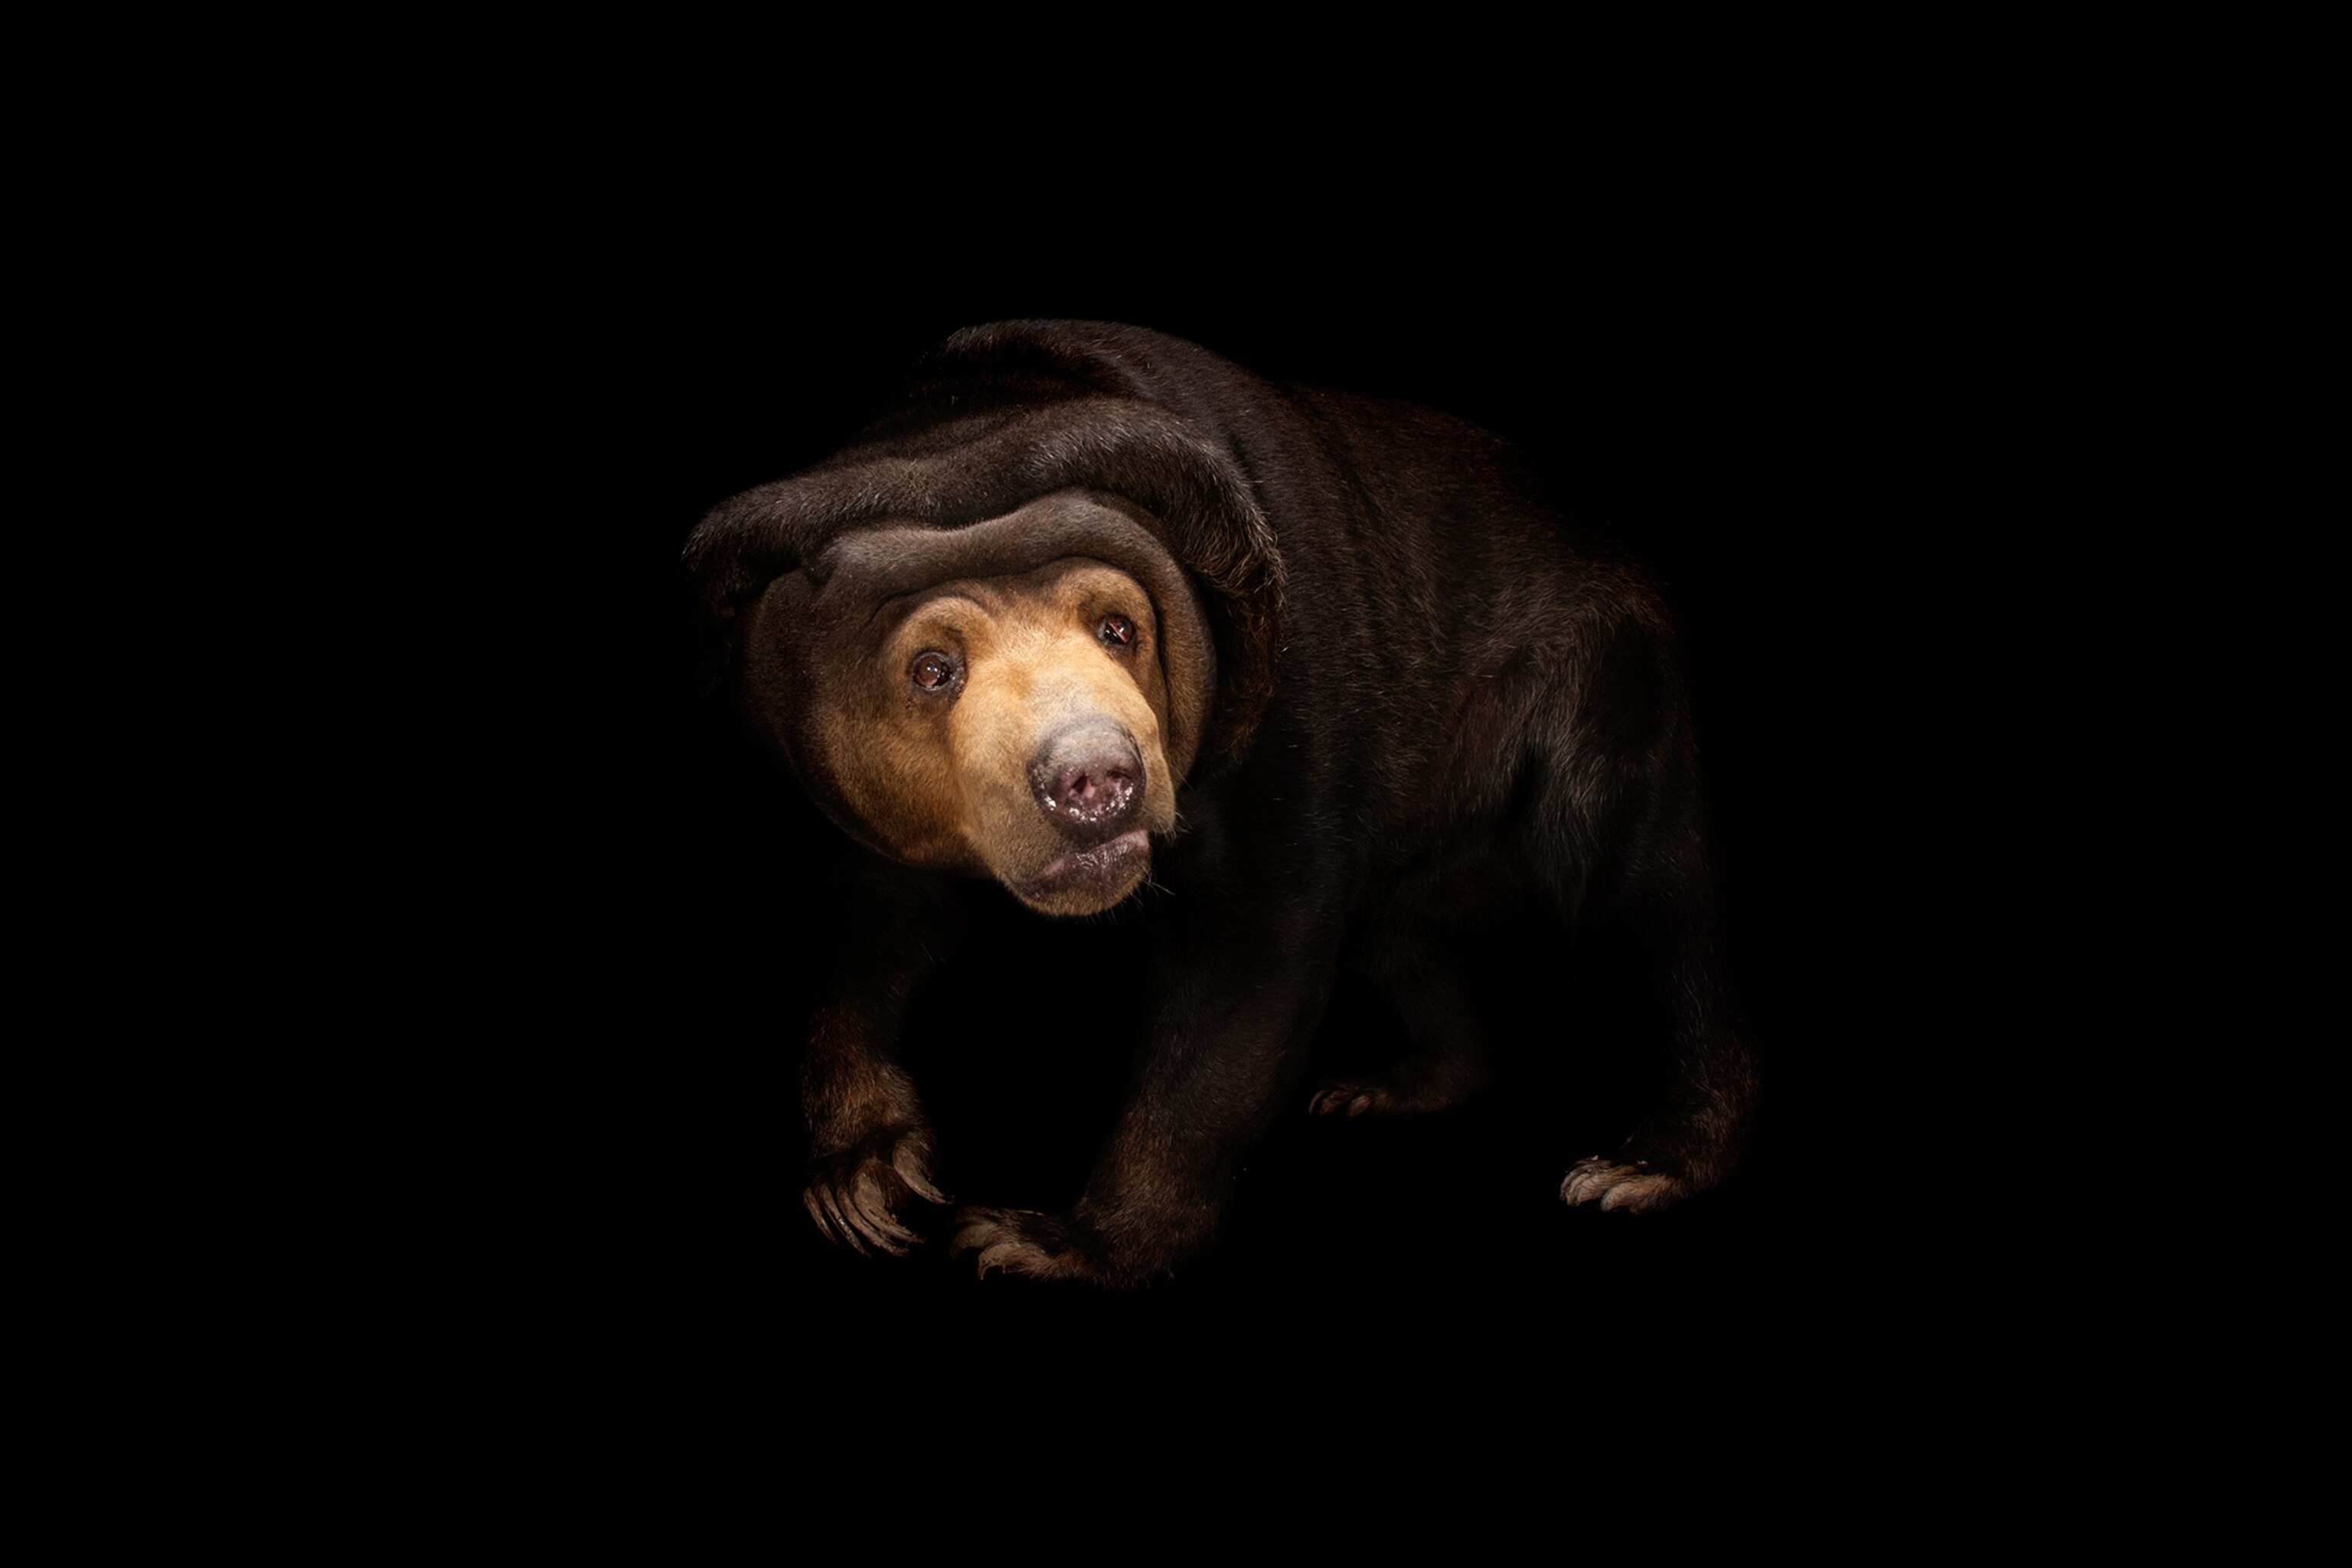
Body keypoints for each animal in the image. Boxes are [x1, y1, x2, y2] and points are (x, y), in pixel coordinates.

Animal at [684, 320, 1757, 1286]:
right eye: (932, 668)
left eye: (1119, 627)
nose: (1094, 777)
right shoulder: (853, 806)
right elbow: (871, 929)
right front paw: (862, 1178)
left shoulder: (1290, 688)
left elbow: (1245, 968)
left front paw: (1048, 1240)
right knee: (1402, 935)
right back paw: (1395, 1084)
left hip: (1602, 688)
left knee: (1645, 899)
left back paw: (1646, 1165)